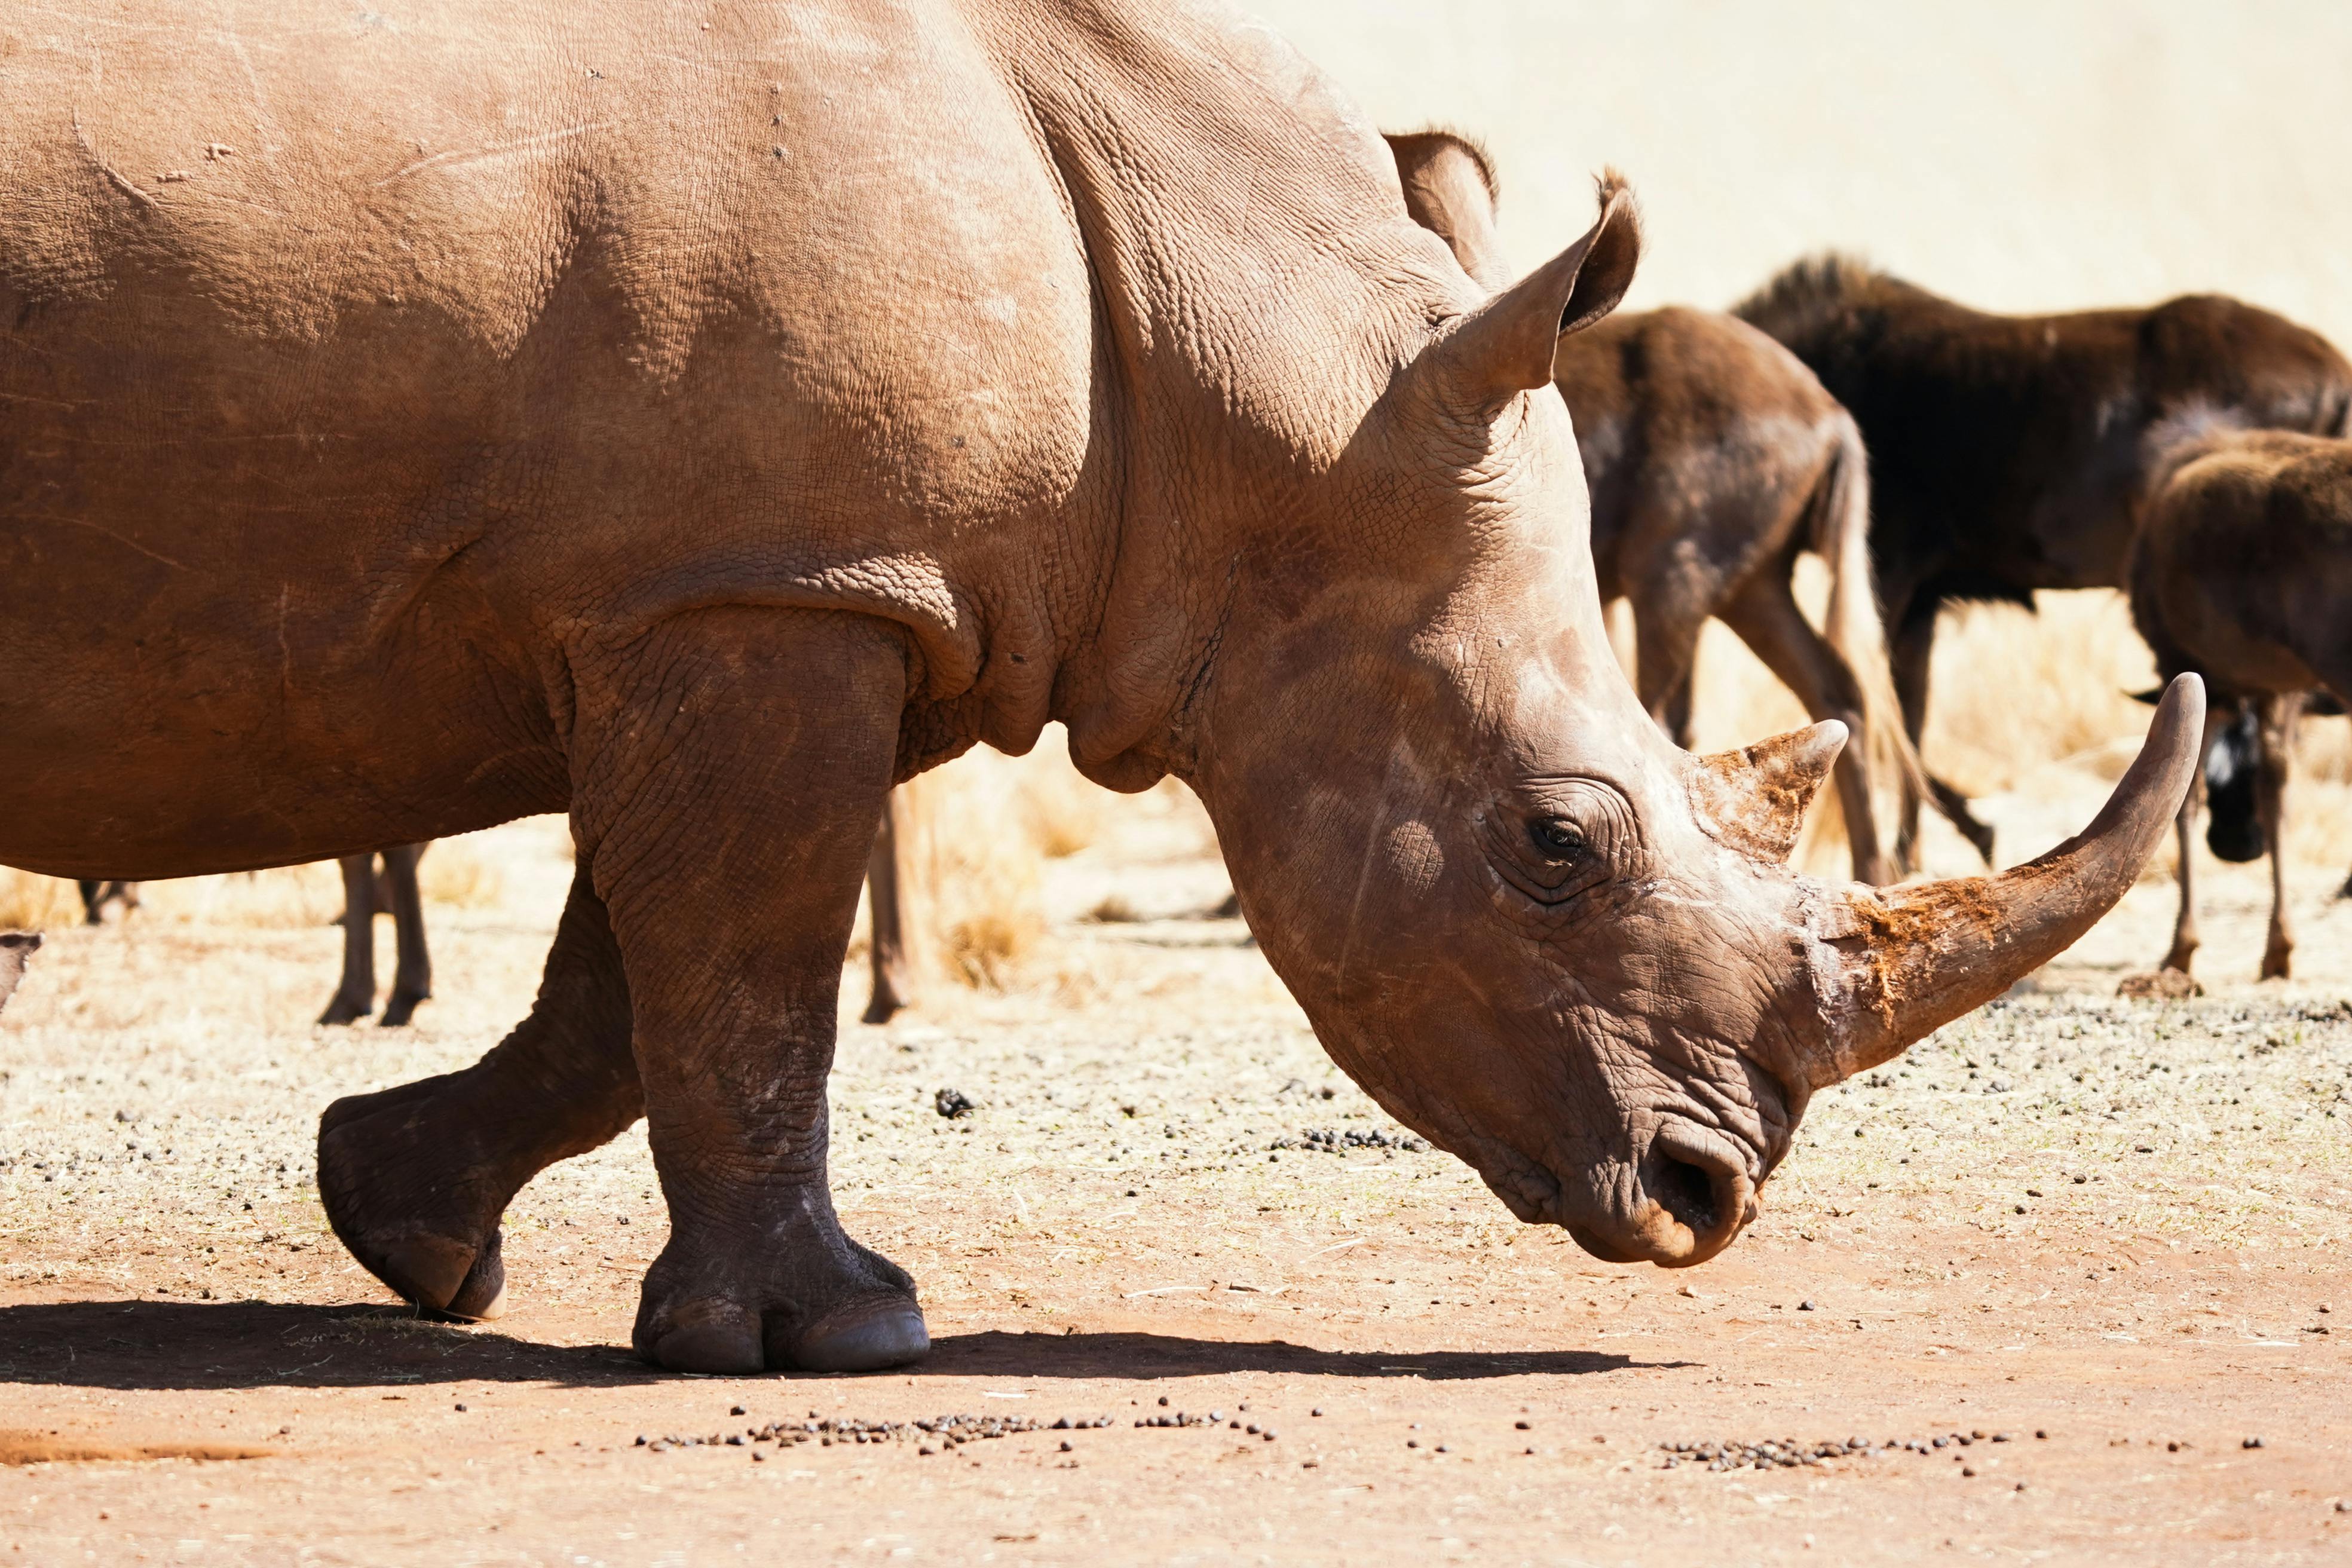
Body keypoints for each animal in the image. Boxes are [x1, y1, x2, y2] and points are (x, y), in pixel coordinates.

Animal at [0, 0, 2199, 1374]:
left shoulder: (731, 589)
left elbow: (630, 980)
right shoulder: (770, 595)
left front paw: (405, 1225)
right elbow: (747, 970)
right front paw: (834, 1334)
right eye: (1556, 844)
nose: (1701, 1199)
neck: (1253, 366)